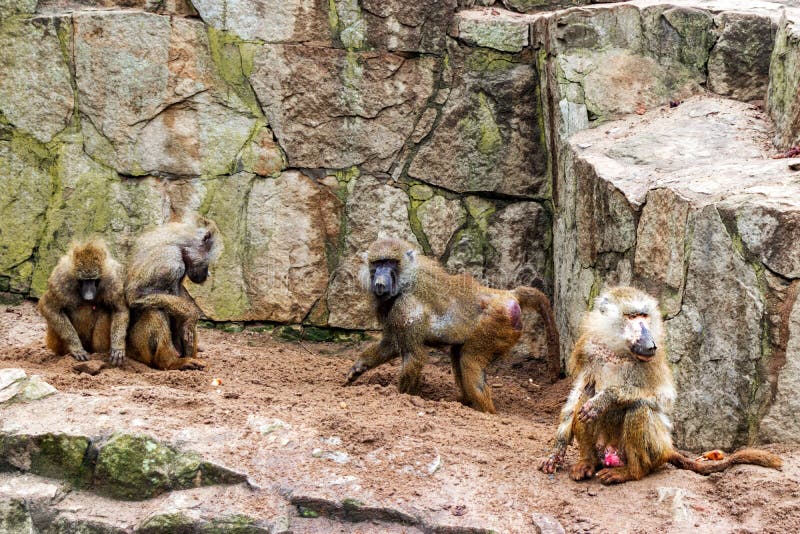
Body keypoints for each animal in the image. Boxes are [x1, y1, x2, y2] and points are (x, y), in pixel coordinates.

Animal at [124, 216, 222, 371]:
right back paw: (170, 362)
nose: (208, 275)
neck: (181, 245)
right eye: (207, 265)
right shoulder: (170, 262)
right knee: (155, 310)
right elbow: (134, 295)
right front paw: (191, 313)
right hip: (138, 348)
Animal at [344, 238, 560, 414]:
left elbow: (413, 356)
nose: (380, 282)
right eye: (377, 263)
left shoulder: (406, 305)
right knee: (457, 355)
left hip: (497, 324)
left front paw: (402, 397)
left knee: (469, 360)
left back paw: (486, 413)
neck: (408, 277)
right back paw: (463, 403)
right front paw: (358, 368)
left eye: (390, 262)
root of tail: (507, 295)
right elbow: (390, 344)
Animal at [539, 286, 782, 484]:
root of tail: (667, 449)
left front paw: (606, 398)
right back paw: (587, 463)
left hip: (655, 449)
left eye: (644, 316)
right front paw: (556, 452)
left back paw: (629, 472)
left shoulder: (654, 362)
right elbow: (579, 392)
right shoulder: (589, 349)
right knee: (585, 399)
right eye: (632, 316)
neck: (617, 350)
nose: (650, 343)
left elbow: (662, 400)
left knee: (639, 408)